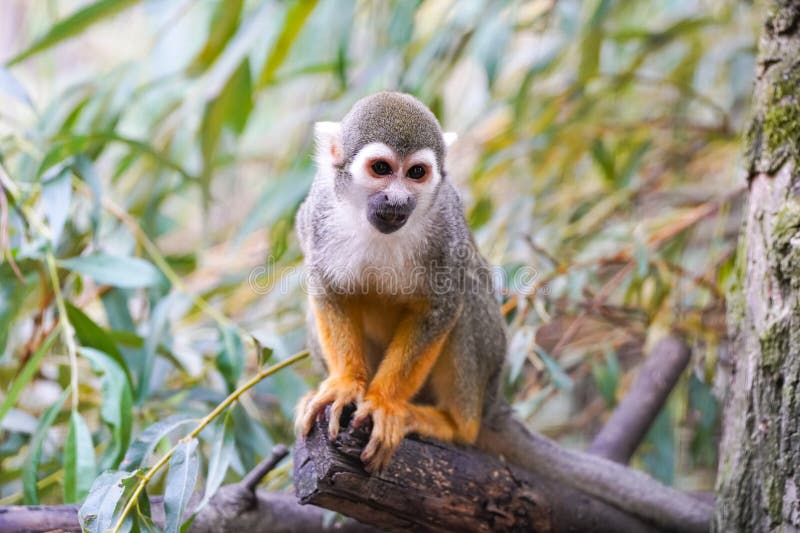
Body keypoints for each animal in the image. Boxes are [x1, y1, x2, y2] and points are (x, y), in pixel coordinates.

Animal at [294, 92, 712, 532]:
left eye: (416, 173)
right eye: (381, 169)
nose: (398, 200)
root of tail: (494, 404)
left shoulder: (445, 226)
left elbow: (442, 305)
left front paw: (385, 404)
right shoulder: (317, 216)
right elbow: (328, 290)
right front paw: (346, 385)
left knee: (470, 296)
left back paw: (454, 424)